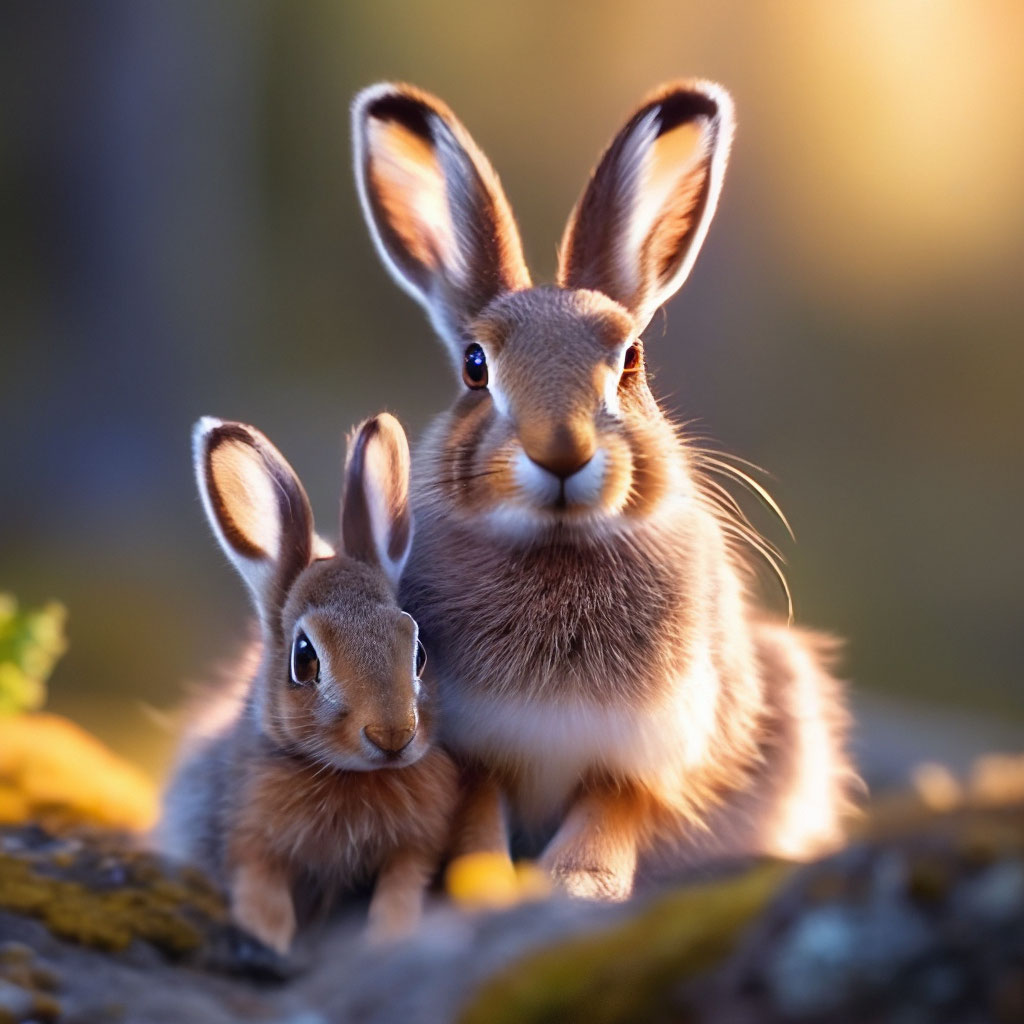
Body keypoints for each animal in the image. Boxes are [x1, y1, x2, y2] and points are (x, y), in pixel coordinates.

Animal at [157, 413, 459, 952]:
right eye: (304, 659)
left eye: (420, 652)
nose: (393, 735)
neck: (348, 775)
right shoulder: (250, 838)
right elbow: (263, 896)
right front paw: (268, 942)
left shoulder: (416, 846)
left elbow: (401, 889)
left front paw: (388, 938)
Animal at [350, 80, 859, 901]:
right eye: (474, 367)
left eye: (632, 358)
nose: (561, 450)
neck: (560, 545)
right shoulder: (476, 753)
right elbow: (478, 815)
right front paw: (486, 884)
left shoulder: (650, 752)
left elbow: (612, 810)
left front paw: (578, 885)